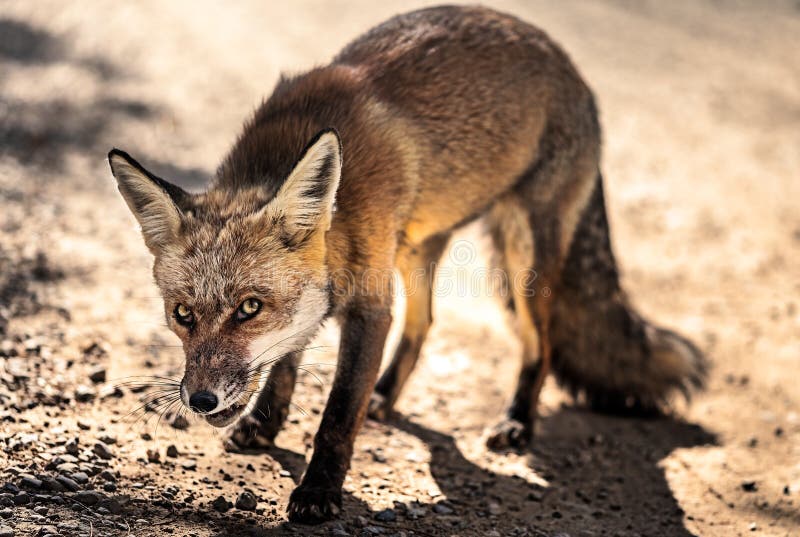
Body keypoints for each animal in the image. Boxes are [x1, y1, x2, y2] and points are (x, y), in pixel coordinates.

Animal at [107, 5, 707, 523]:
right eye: (183, 315)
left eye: (249, 309)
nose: (199, 400)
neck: (339, 206)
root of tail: (562, 58)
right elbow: (286, 361)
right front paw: (264, 424)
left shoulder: (370, 306)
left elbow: (336, 412)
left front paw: (319, 492)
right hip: (417, 251)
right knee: (425, 324)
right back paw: (387, 395)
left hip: (523, 262)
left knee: (541, 345)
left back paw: (516, 421)